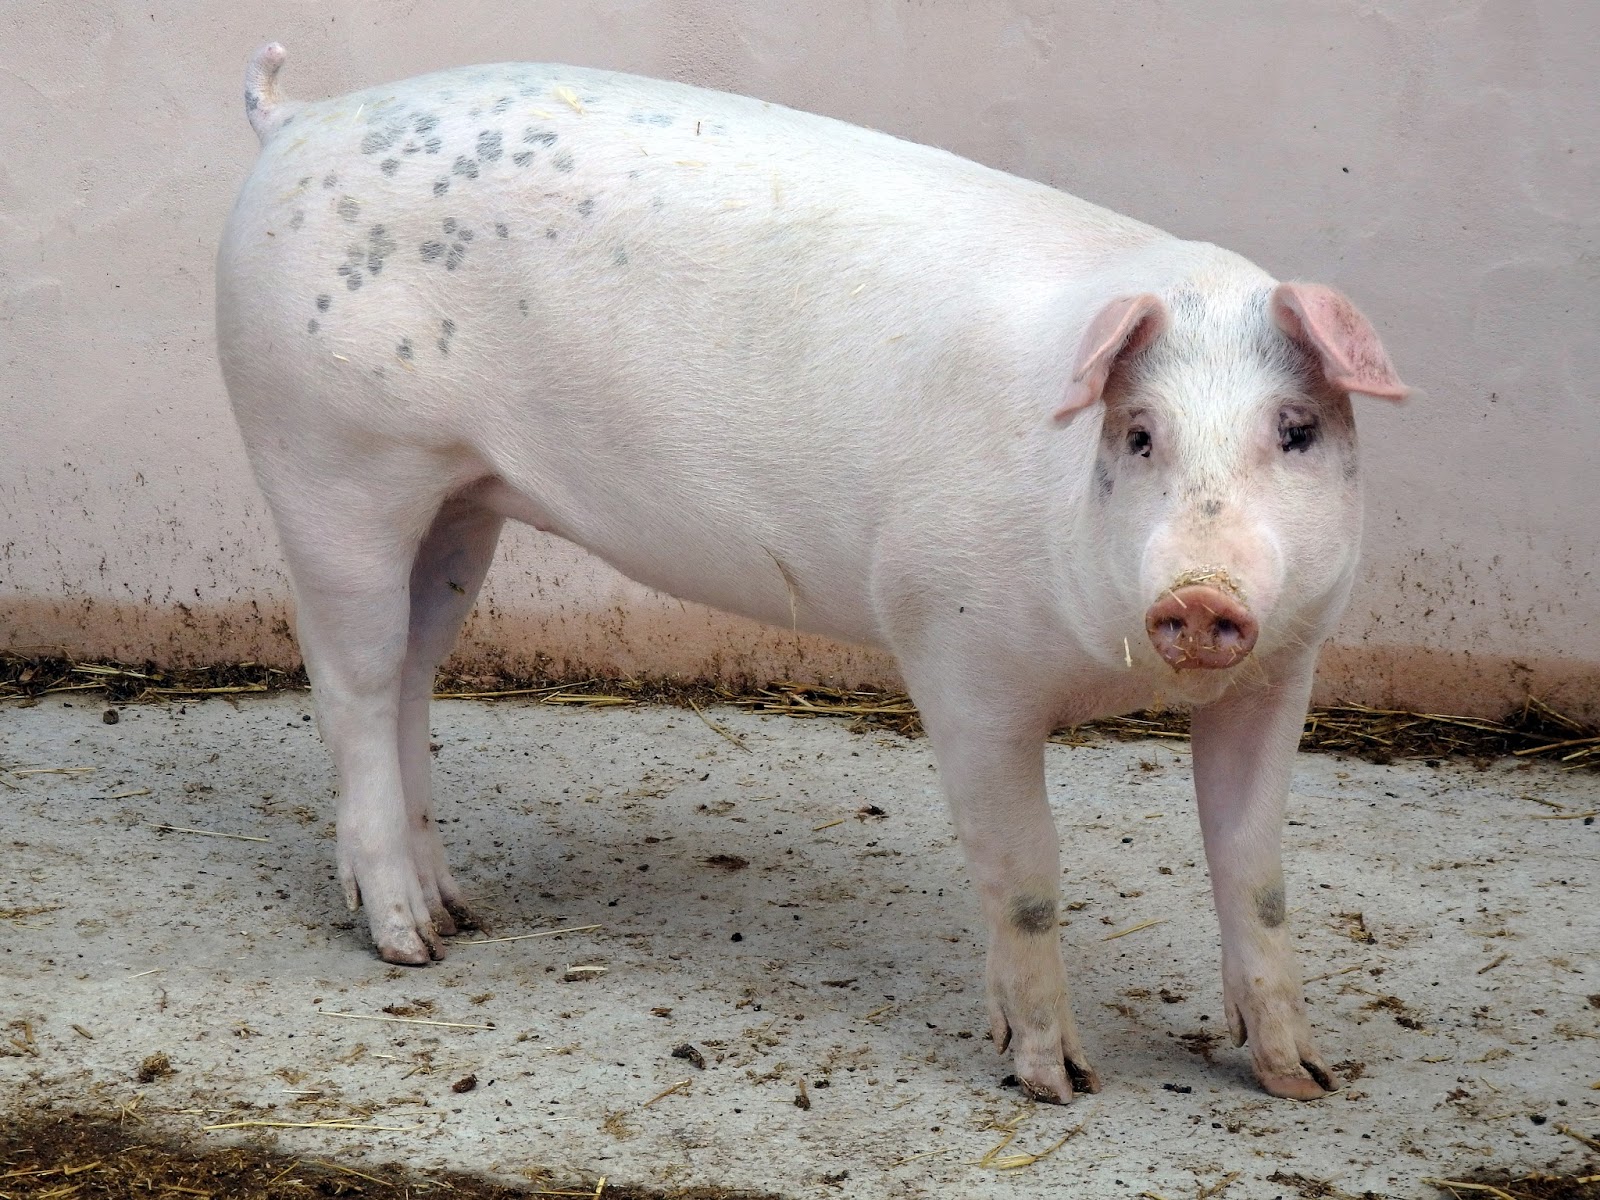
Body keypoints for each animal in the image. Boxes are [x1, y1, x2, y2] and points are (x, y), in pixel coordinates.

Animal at [216, 43, 1409, 1106]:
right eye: (1141, 434)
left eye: (1296, 431)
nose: (1201, 596)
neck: (1120, 675)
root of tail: (295, 119)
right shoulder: (955, 653)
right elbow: (1024, 879)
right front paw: (1055, 1082)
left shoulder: (1283, 668)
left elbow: (1256, 875)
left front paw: (1300, 1081)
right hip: (329, 459)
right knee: (354, 681)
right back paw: (408, 943)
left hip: (461, 505)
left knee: (414, 675)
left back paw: (458, 910)